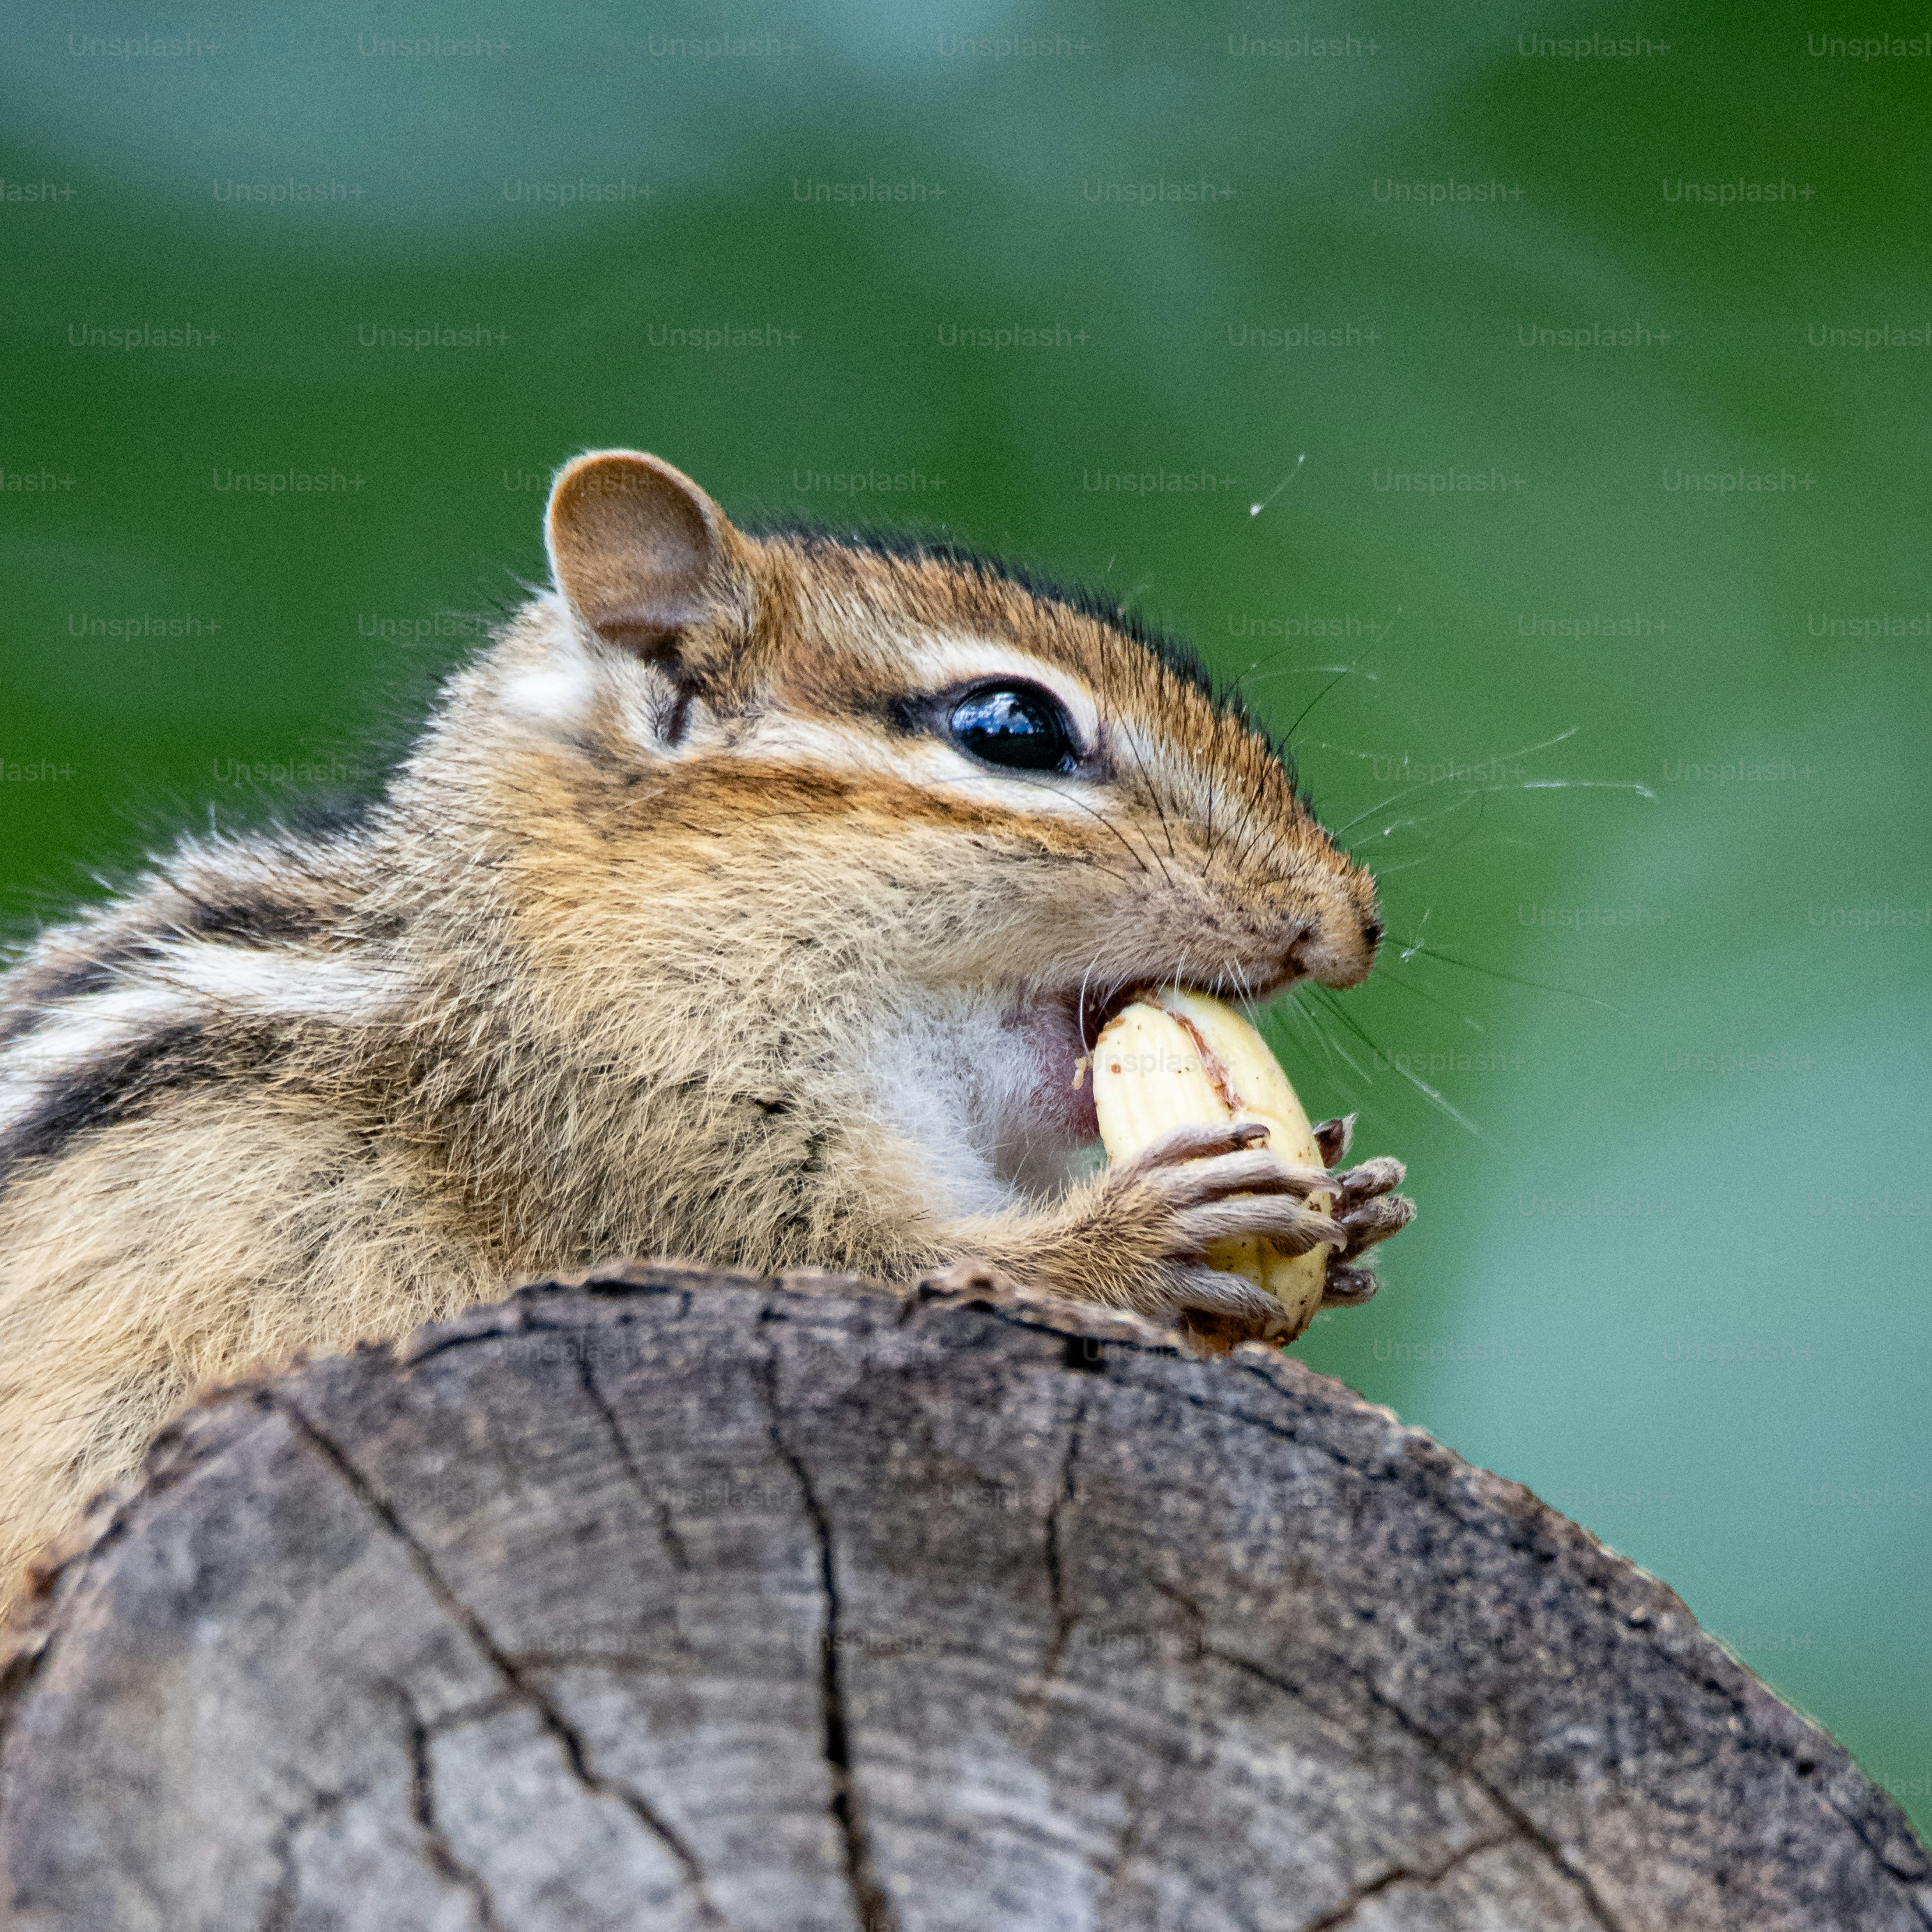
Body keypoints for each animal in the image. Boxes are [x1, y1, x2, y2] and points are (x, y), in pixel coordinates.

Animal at [0, 449, 1412, 1616]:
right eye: (1011, 727)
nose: (1348, 923)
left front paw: (1354, 1208)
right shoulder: (635, 1144)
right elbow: (875, 1261)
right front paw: (1147, 1231)